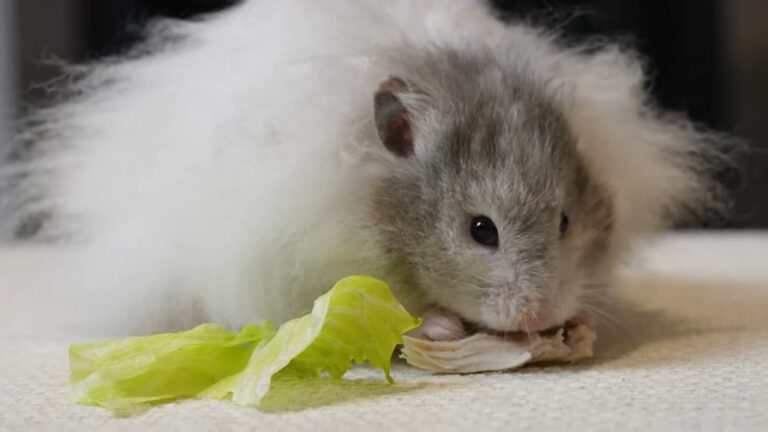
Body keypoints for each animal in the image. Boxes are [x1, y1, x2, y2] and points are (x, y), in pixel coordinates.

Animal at [1, 0, 729, 338]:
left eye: (566, 222)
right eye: (481, 230)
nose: (536, 317)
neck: (383, 205)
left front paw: (577, 324)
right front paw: (442, 326)